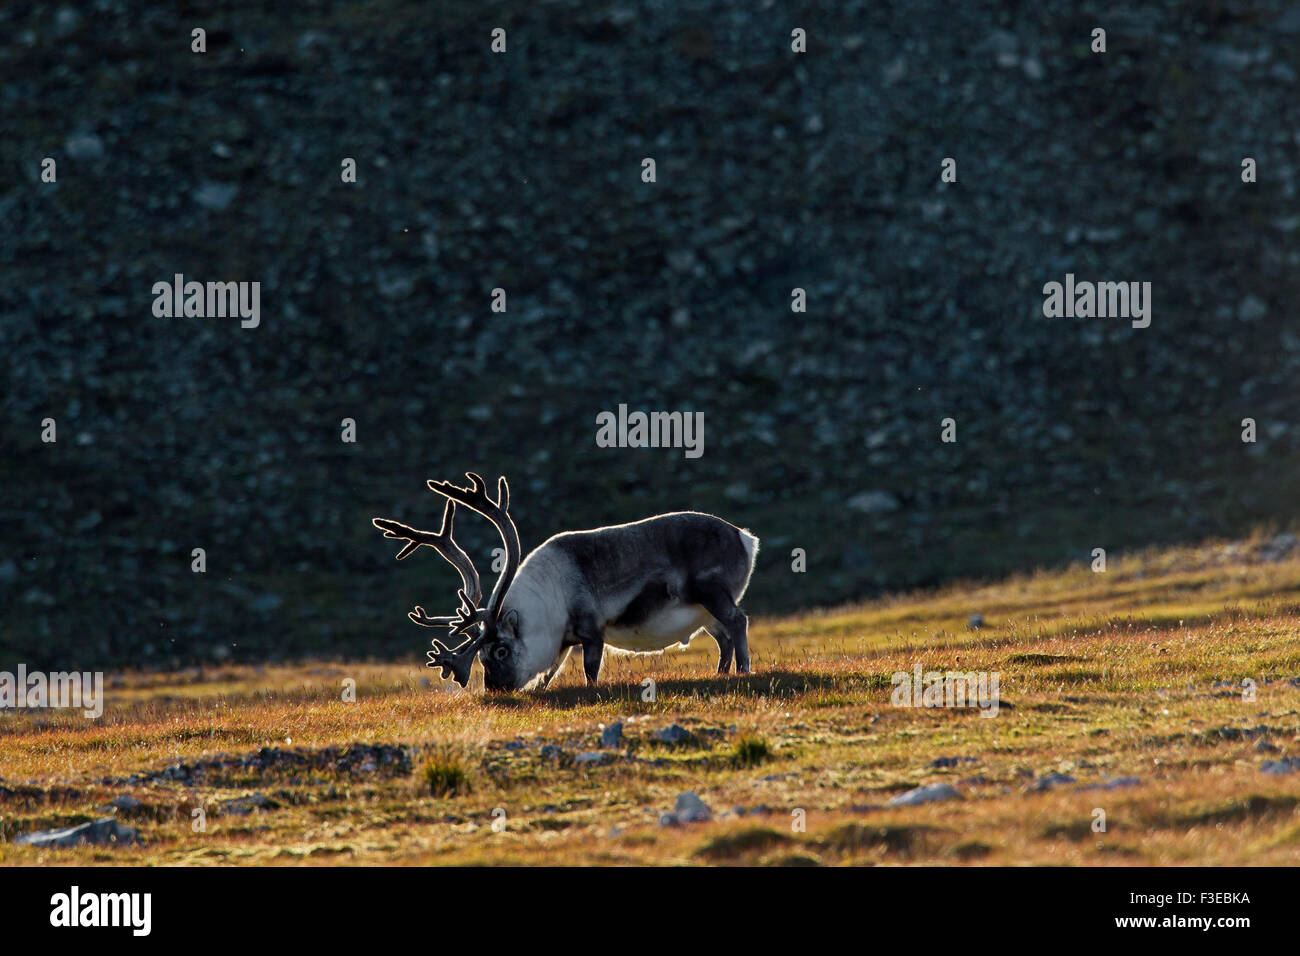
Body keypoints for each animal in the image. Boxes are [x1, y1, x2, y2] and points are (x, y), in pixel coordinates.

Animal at [372, 473, 759, 691]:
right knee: (723, 638)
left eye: (500, 650)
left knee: (738, 621)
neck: (547, 604)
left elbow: (590, 670)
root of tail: (744, 537)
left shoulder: (590, 631)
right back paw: (722, 674)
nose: (495, 689)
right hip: (703, 612)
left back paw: (743, 671)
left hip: (713, 593)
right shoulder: (563, 644)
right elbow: (548, 676)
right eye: (479, 655)